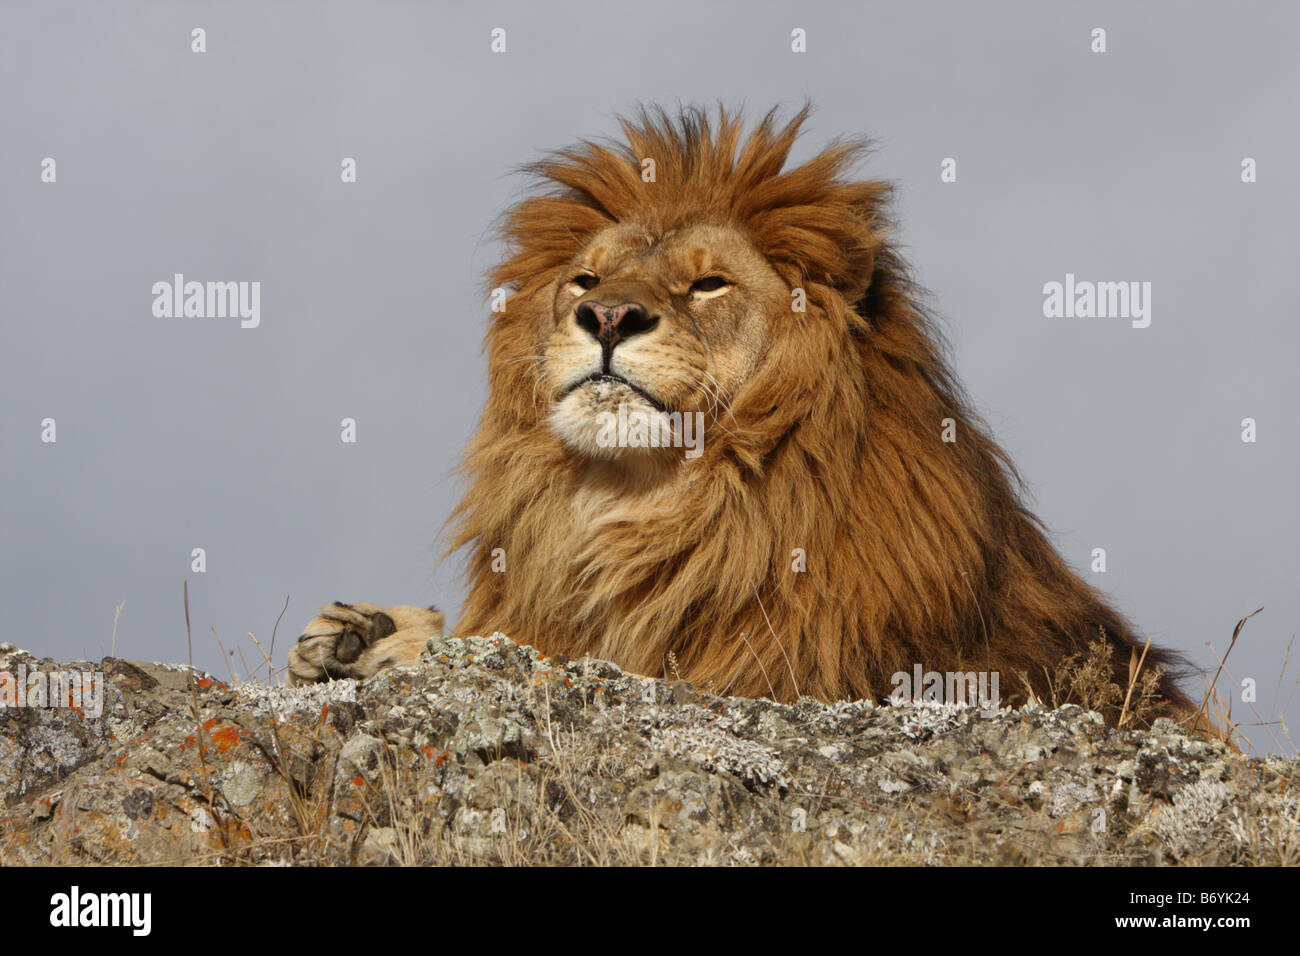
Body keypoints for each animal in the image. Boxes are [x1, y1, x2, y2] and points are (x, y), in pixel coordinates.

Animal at [289, 105, 1214, 735]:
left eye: (709, 284)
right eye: (586, 279)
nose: (608, 317)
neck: (641, 506)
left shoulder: (784, 676)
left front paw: (396, 647)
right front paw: (355, 636)